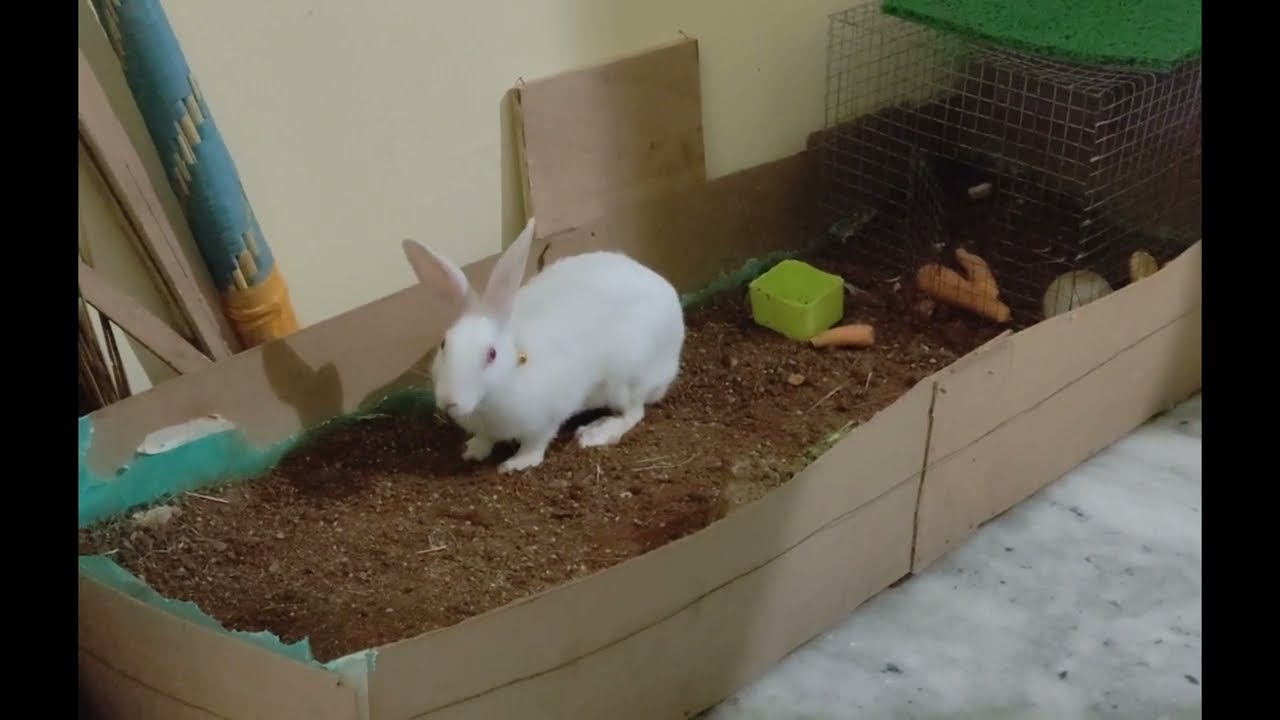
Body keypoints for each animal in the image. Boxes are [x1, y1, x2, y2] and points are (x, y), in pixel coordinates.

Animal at [401, 217, 686, 473]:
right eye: (444, 344)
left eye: (491, 354)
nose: (449, 401)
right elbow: (485, 440)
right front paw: (472, 451)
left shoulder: (546, 419)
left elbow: (535, 444)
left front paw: (516, 464)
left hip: (628, 379)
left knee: (633, 412)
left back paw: (596, 433)